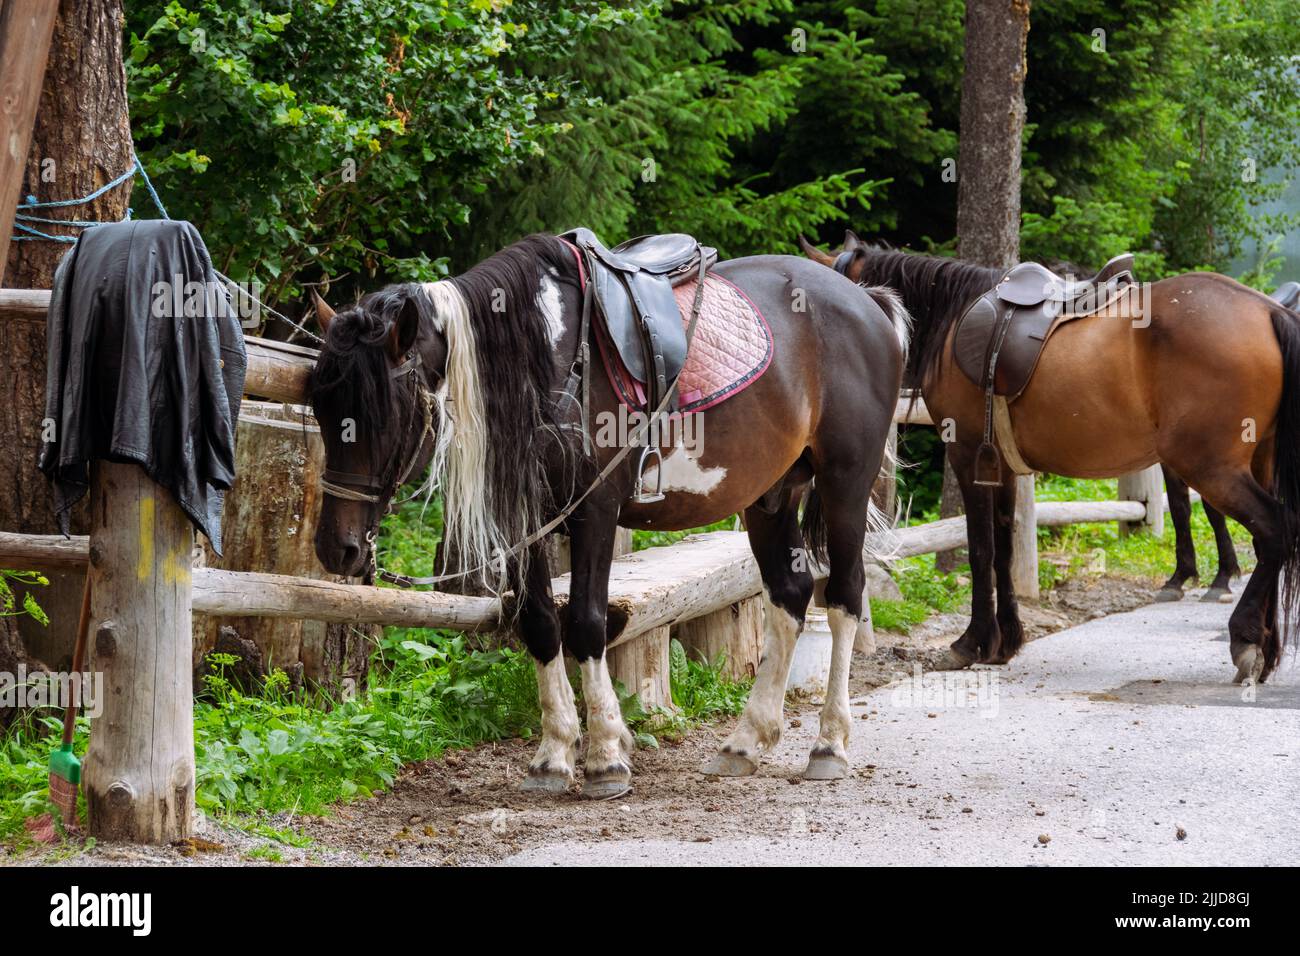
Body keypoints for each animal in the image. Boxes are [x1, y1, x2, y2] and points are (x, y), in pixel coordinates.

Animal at [307, 233, 907, 798]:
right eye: (320, 405)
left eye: (381, 412)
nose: (338, 548)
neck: (547, 354)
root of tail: (867, 302)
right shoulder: (531, 519)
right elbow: (539, 622)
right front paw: (553, 756)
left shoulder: (593, 513)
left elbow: (586, 622)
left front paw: (604, 760)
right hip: (769, 494)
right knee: (789, 597)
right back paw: (744, 742)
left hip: (845, 485)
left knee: (845, 596)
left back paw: (829, 745)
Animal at [800, 231, 1300, 684]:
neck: (955, 314)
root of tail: (1267, 310)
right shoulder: (999, 464)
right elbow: (1004, 547)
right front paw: (1005, 641)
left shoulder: (965, 453)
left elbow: (980, 549)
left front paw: (971, 642)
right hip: (1254, 463)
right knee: (1271, 540)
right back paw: (1266, 646)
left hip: (1211, 467)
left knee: (1274, 531)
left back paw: (1246, 638)